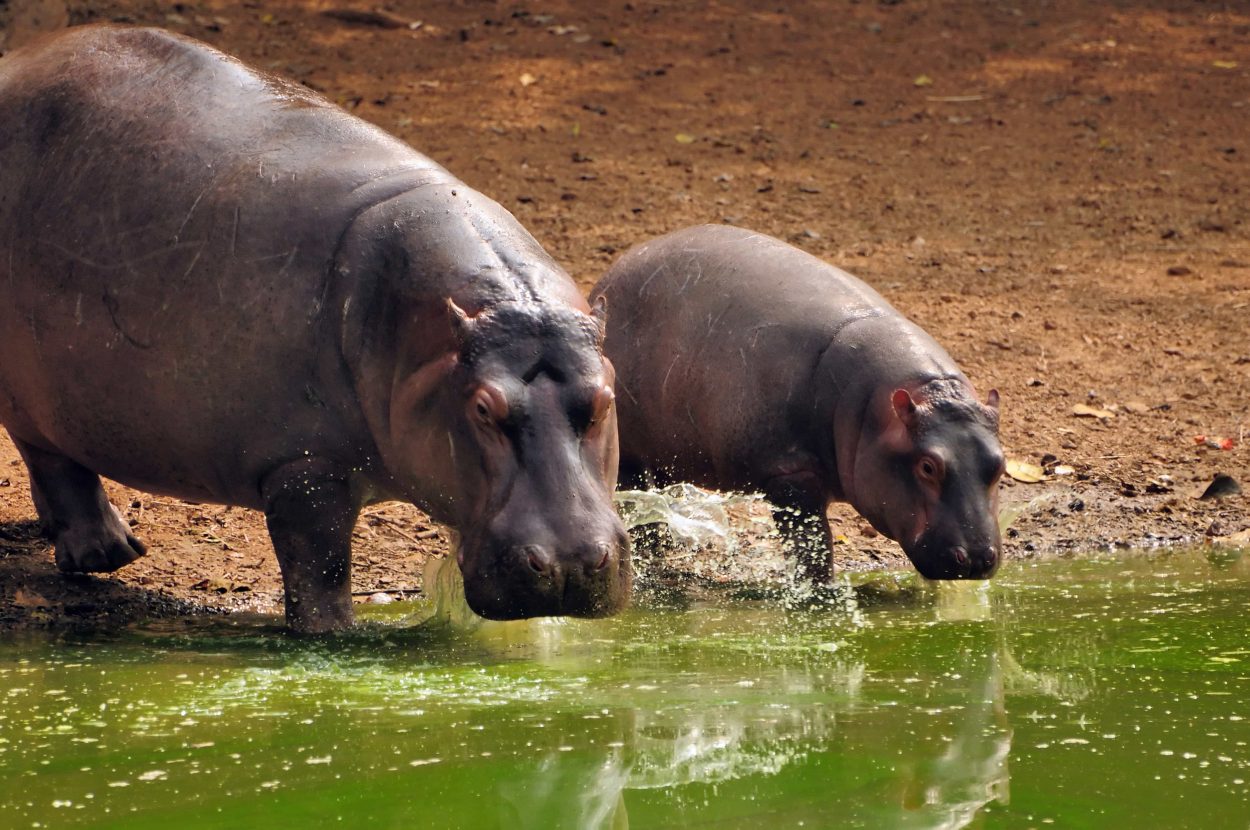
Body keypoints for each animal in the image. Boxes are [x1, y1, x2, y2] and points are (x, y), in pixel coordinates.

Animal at [0, 25, 630, 632]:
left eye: (604, 399)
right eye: (481, 407)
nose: (571, 565)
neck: (424, 337)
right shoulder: (303, 468)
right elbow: (320, 571)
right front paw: (332, 639)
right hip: (30, 389)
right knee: (52, 459)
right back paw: (105, 553)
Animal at [591, 225, 1004, 581]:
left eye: (998, 464)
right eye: (928, 466)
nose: (977, 558)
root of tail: (612, 272)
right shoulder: (789, 473)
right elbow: (812, 541)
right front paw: (823, 591)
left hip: (669, 449)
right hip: (631, 449)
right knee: (636, 494)